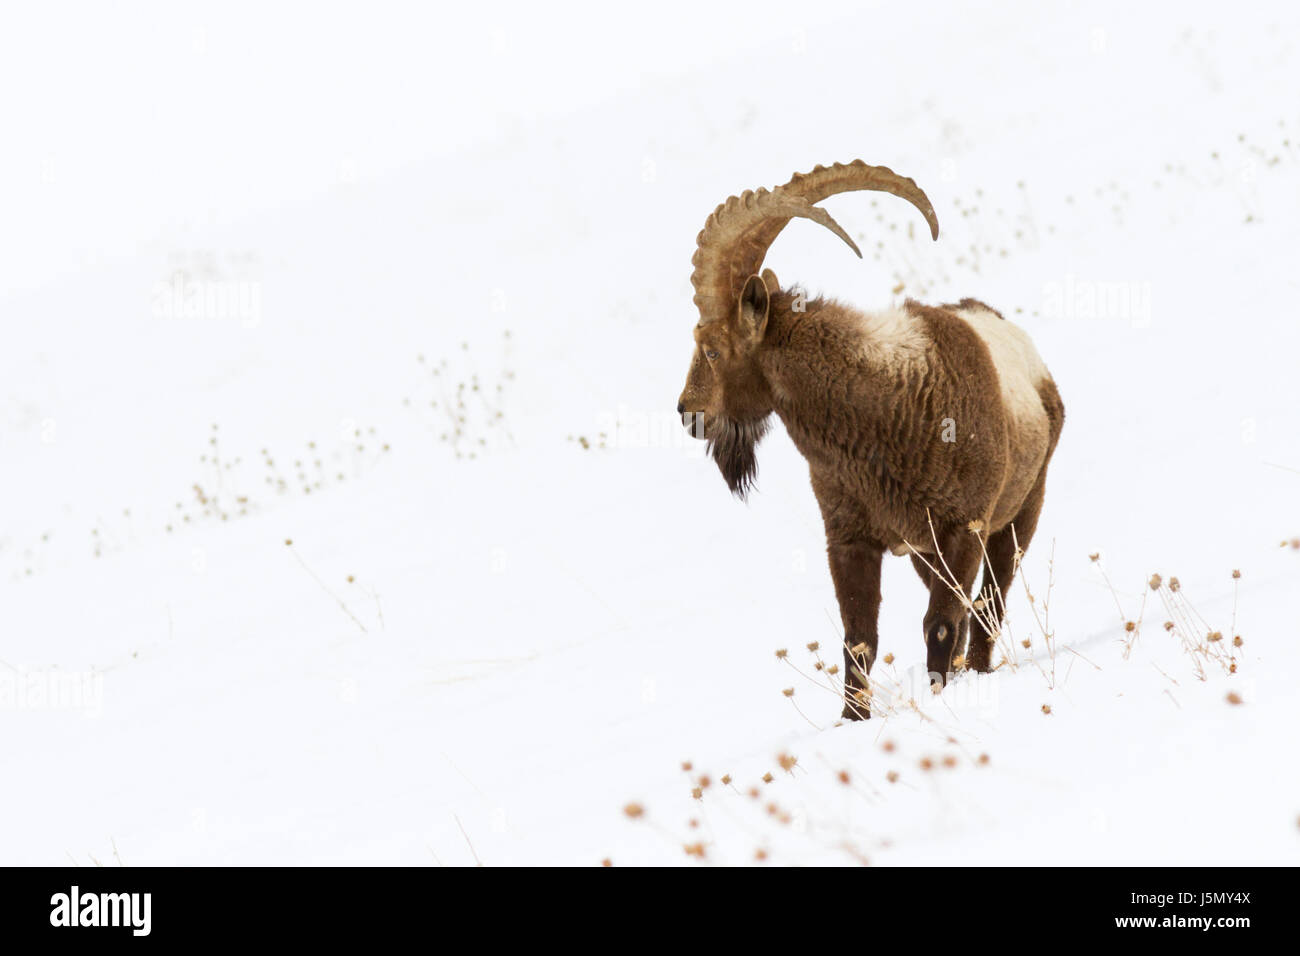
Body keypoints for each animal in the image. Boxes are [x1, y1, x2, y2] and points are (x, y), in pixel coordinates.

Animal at [676, 161, 1064, 719]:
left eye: (710, 349)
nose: (687, 411)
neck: (882, 413)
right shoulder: (850, 538)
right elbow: (858, 641)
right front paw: (852, 720)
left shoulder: (961, 527)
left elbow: (941, 625)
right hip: (926, 554)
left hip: (1020, 510)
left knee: (987, 604)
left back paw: (979, 671)